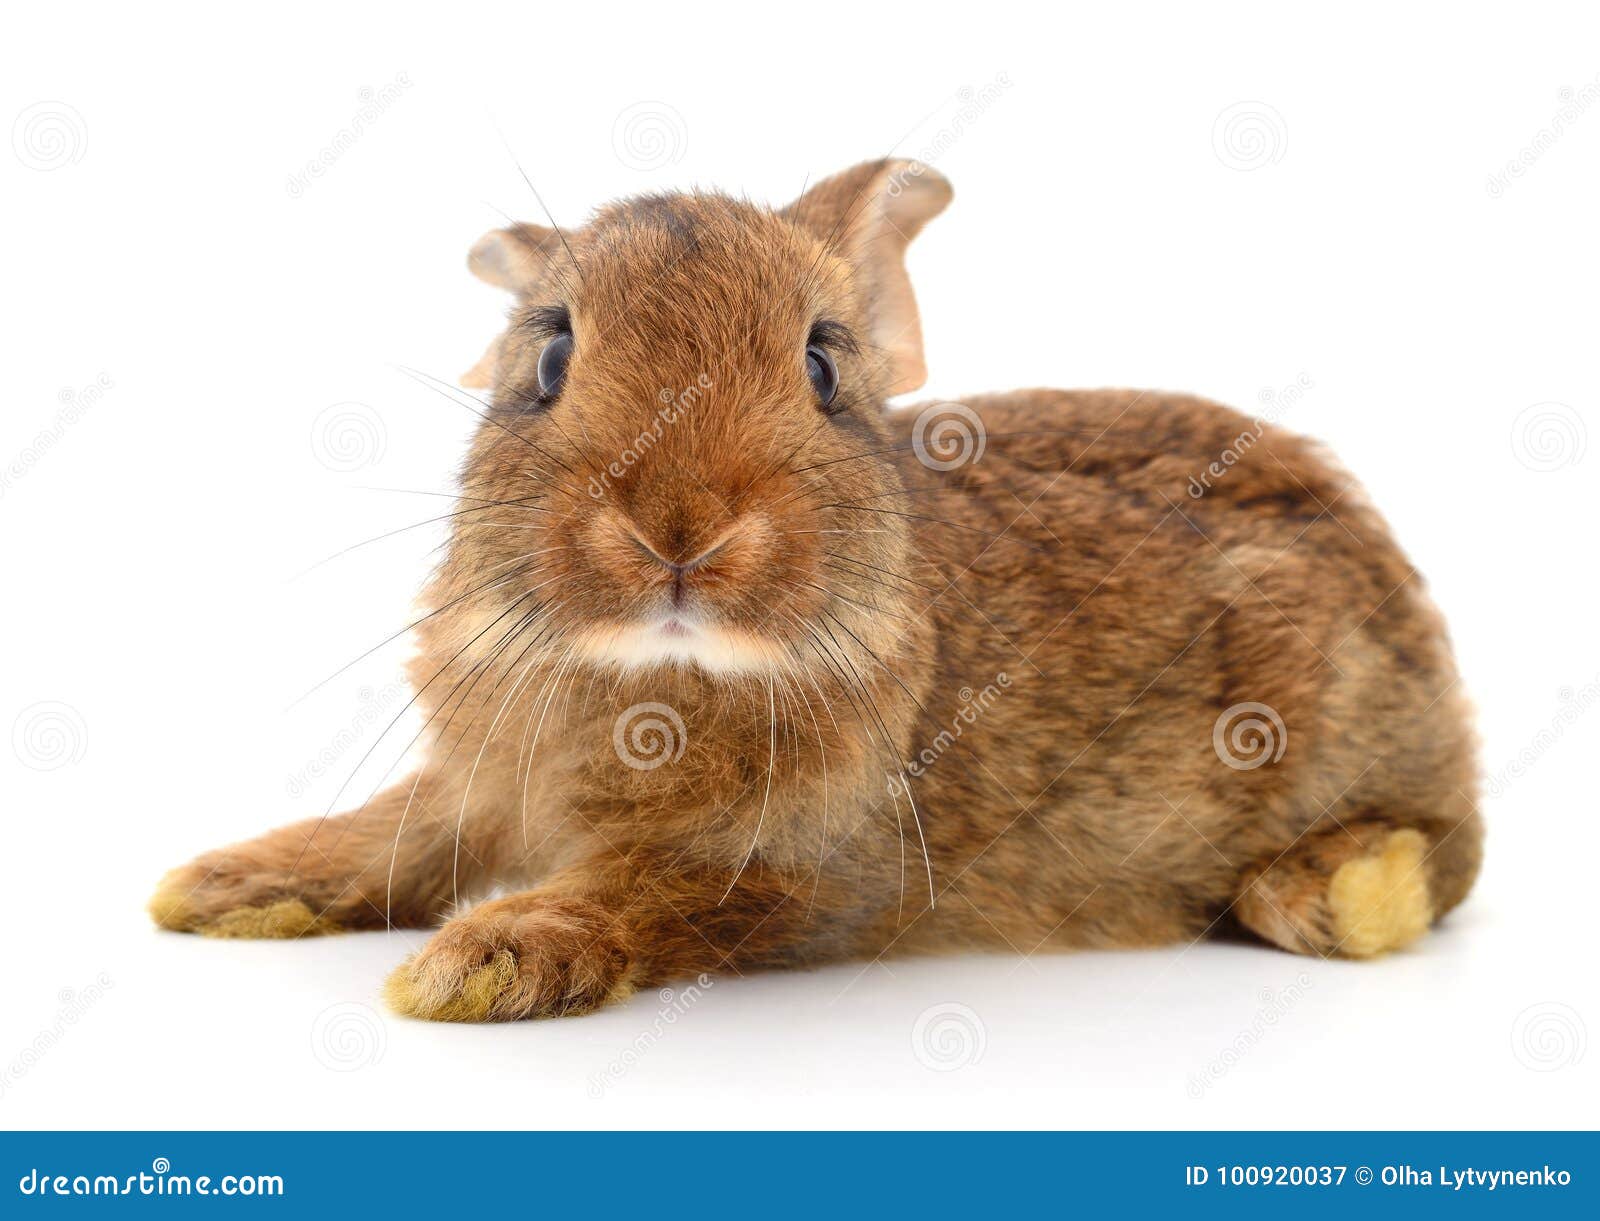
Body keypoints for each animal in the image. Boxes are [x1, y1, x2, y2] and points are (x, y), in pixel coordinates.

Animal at [149, 158, 1482, 1020]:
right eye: (550, 357)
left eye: (822, 366)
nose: (679, 528)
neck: (665, 678)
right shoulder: (485, 781)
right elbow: (405, 830)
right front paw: (222, 885)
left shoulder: (798, 874)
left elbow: (647, 894)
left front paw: (473, 965)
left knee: (1438, 856)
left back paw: (1339, 888)